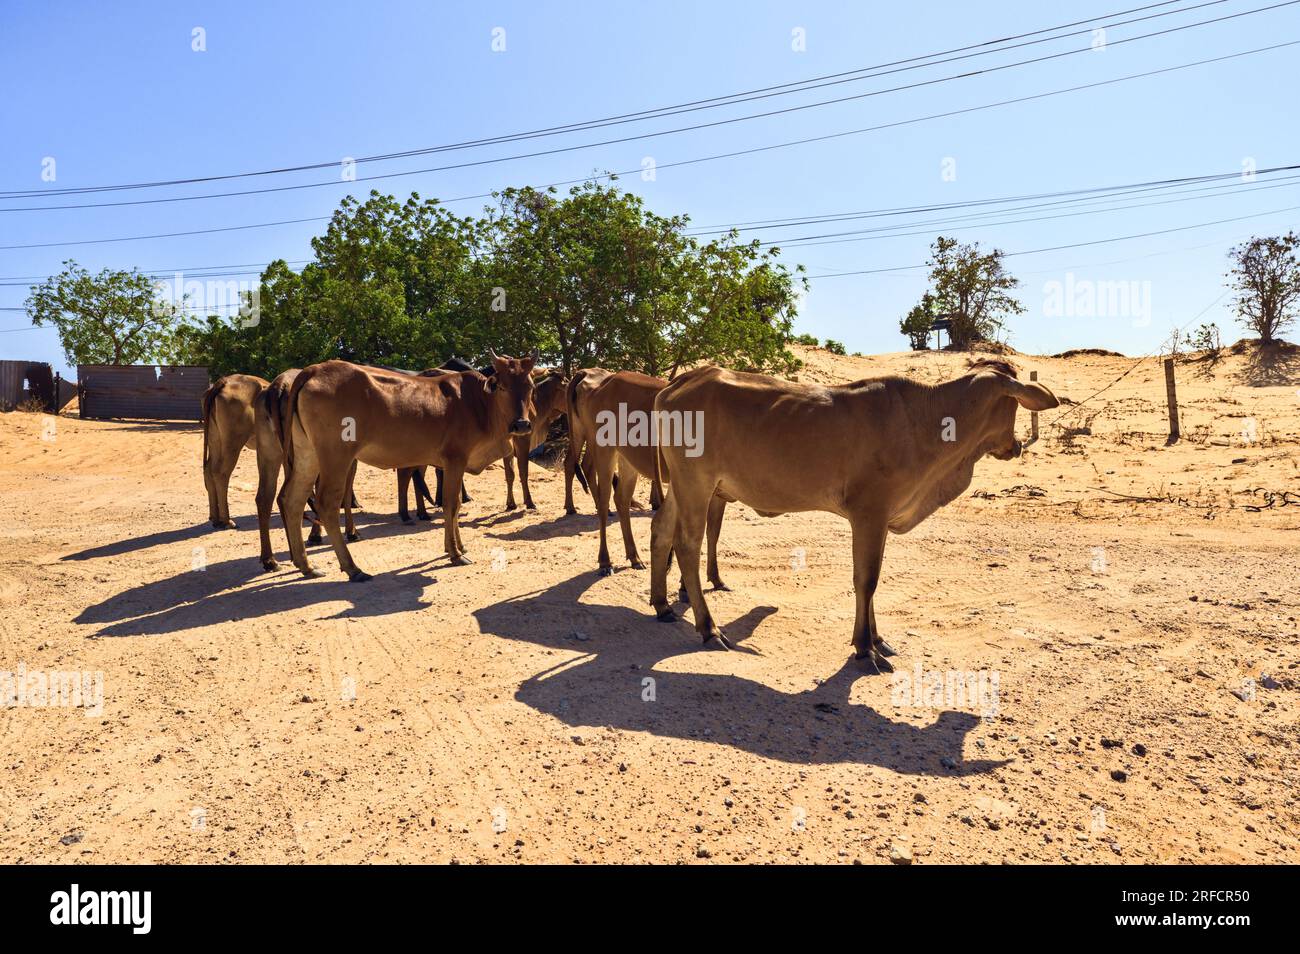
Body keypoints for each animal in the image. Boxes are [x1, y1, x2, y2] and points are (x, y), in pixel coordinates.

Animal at [280, 353, 538, 579]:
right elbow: (450, 504)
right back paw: (353, 568)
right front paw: (455, 553)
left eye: (530, 386)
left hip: (307, 455)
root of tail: (315, 369)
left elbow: (453, 506)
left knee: (291, 499)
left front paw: (459, 547)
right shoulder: (454, 460)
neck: (478, 405)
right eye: (503, 387)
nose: (522, 424)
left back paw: (306, 566)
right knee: (326, 504)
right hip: (336, 456)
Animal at [566, 368, 725, 583]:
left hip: (627, 459)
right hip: (603, 450)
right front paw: (685, 584)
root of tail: (605, 381)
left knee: (621, 499)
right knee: (603, 500)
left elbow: (713, 532)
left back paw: (634, 557)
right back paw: (605, 562)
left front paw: (715, 578)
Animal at [648, 358, 1059, 673]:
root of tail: (682, 381)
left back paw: (663, 605)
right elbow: (867, 580)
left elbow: (873, 581)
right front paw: (865, 648)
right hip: (696, 484)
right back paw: (708, 628)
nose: (1017, 446)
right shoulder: (869, 515)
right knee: (686, 546)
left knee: (660, 531)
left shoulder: (880, 520)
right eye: (1014, 405)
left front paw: (878, 639)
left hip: (683, 487)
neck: (928, 422)